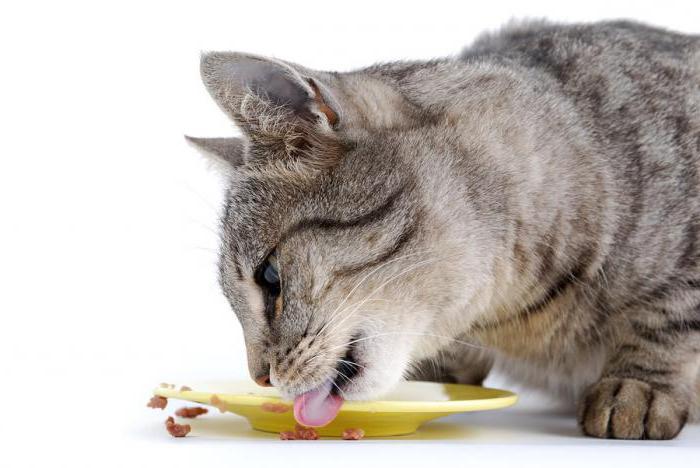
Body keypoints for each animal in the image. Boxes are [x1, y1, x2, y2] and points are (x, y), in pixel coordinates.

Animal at [187, 20, 700, 438]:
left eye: (270, 278)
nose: (259, 377)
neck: (517, 316)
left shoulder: (684, 274)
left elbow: (668, 318)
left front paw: (636, 385)